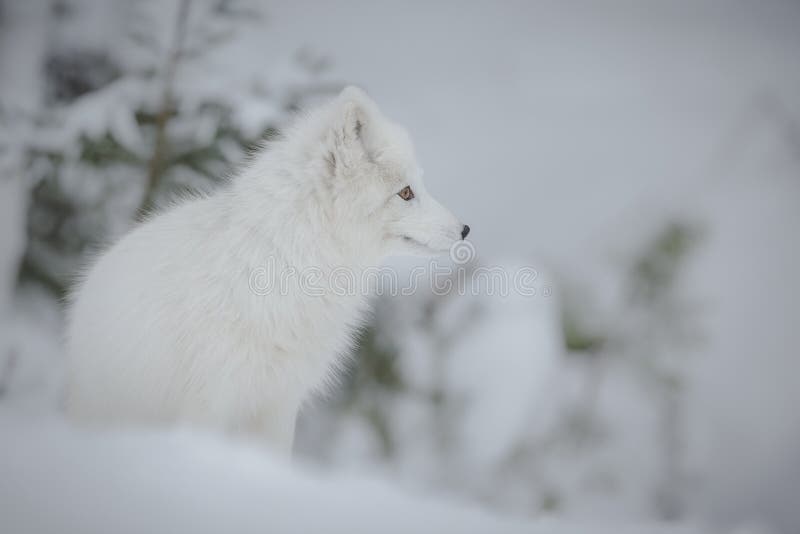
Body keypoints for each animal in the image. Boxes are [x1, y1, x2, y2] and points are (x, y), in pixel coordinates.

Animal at [65, 87, 469, 453]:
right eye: (406, 193)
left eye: (417, 186)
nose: (465, 229)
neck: (287, 260)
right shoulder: (210, 403)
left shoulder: (279, 403)